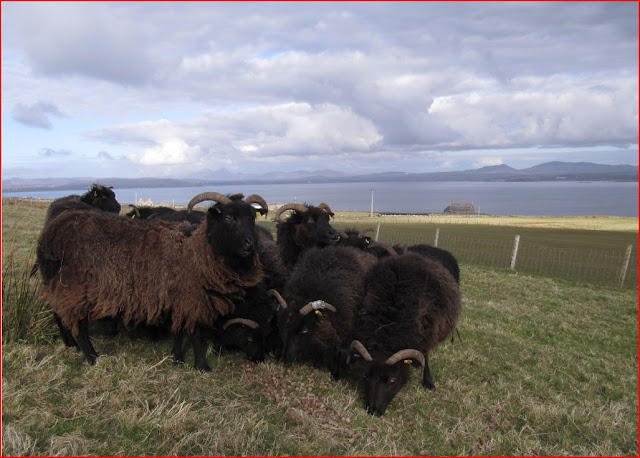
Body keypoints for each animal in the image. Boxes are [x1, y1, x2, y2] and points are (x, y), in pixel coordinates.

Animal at [36, 191, 268, 372]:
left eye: (252, 218)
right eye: (228, 218)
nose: (250, 244)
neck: (196, 250)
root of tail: (50, 235)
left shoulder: (177, 296)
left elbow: (178, 329)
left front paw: (177, 358)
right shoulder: (191, 296)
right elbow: (193, 332)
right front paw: (202, 366)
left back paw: (75, 348)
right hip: (76, 288)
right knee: (79, 326)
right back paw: (92, 357)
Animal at [340, 252, 461, 416]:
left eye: (392, 380)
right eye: (365, 376)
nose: (373, 411)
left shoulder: (425, 335)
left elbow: (425, 357)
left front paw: (428, 382)